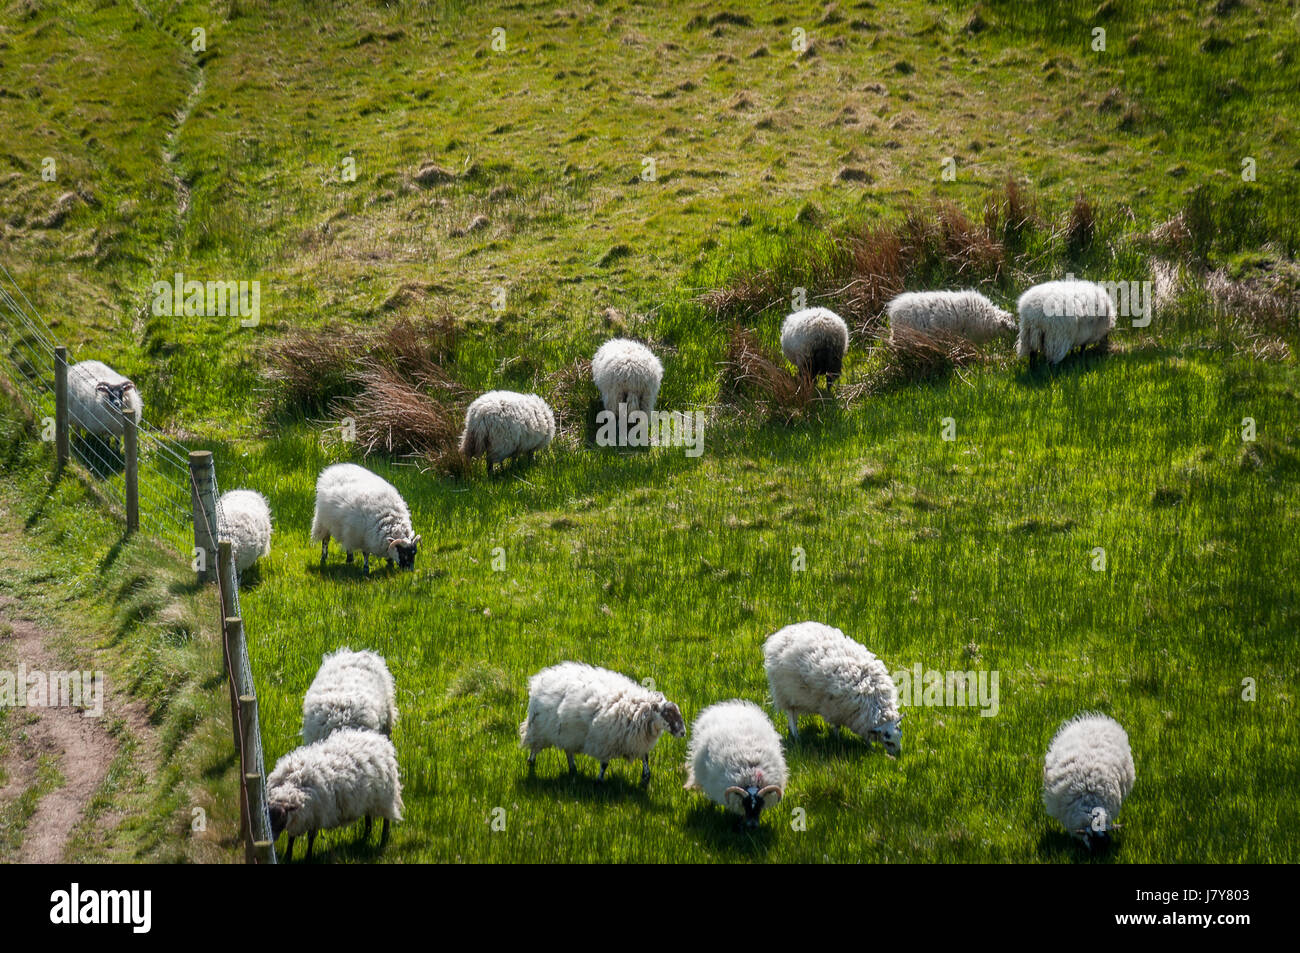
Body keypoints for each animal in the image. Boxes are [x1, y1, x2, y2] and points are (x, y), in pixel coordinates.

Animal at [267, 728, 403, 862]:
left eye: (280, 818)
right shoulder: (301, 816)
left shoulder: (315, 816)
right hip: (368, 799)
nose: (272, 840)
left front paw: (308, 857)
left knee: (386, 820)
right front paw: (288, 856)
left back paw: (383, 841)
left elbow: (310, 839)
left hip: (385, 798)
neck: (292, 784)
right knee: (368, 817)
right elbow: (291, 838)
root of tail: (378, 738)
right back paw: (366, 836)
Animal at [520, 662, 686, 783]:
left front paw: (646, 778)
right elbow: (604, 764)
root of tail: (540, 678)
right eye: (667, 714)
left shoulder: (637, 742)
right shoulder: (605, 742)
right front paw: (600, 781)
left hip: (567, 733)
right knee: (534, 748)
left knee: (568, 751)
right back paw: (531, 762)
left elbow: (645, 759)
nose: (683, 733)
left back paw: (573, 769)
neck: (639, 711)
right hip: (538, 729)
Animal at [763, 621, 902, 756]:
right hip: (785, 692)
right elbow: (837, 726)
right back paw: (796, 736)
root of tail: (780, 635)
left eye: (900, 736)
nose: (898, 756)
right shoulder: (836, 710)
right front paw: (839, 739)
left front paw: (870, 747)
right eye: (889, 741)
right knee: (791, 715)